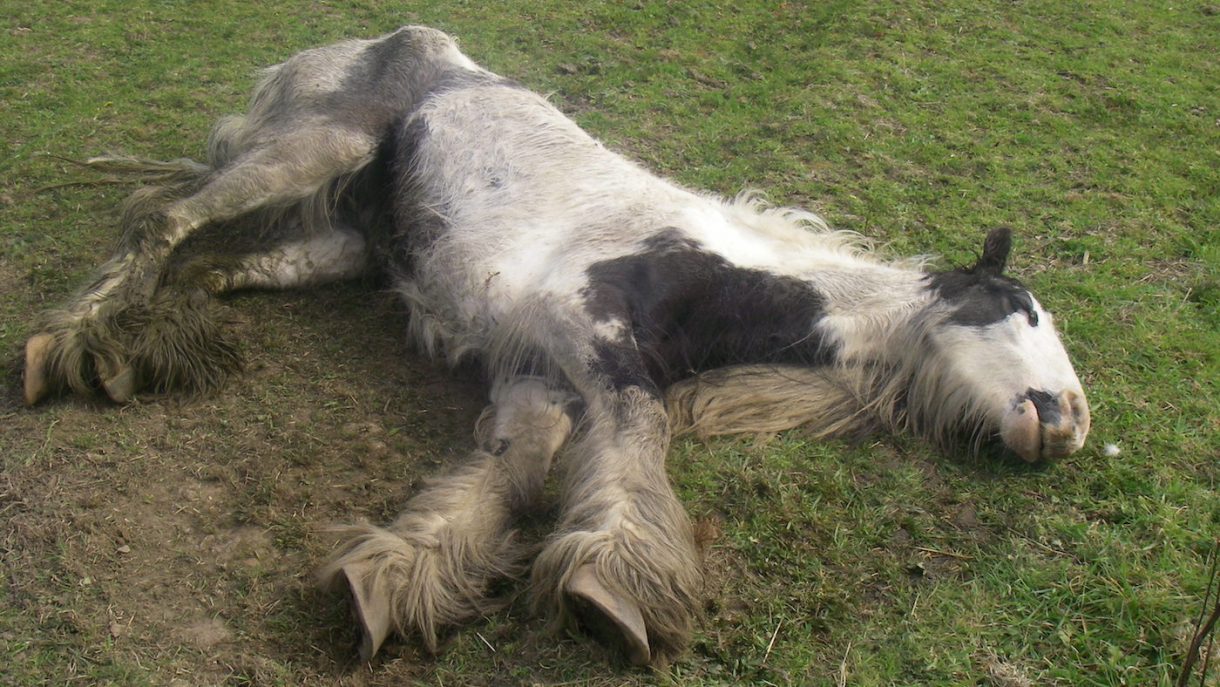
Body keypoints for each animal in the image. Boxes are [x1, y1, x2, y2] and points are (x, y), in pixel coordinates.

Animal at [22, 26, 1091, 666]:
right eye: (1019, 306)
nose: (1072, 422)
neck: (699, 267)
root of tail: (366, 44)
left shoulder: (541, 375)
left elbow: (512, 467)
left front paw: (394, 579)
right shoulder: (594, 346)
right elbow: (636, 436)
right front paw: (615, 591)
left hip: (341, 244)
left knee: (214, 269)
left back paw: (140, 351)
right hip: (308, 151)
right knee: (164, 222)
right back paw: (68, 350)